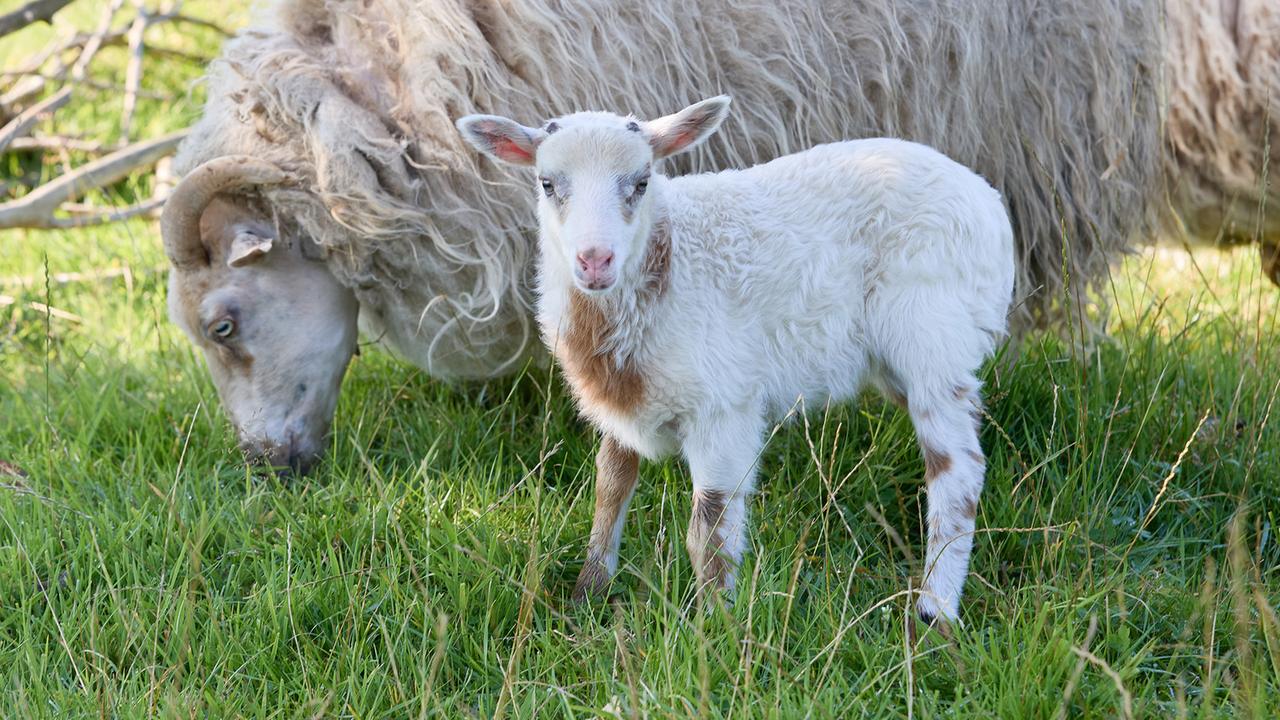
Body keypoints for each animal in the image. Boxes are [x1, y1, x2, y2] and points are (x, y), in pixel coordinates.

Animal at [456, 97, 1015, 623]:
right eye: (548, 183)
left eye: (641, 182)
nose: (595, 261)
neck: (665, 264)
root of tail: (989, 204)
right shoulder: (623, 399)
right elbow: (609, 488)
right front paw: (587, 594)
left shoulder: (723, 405)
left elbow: (709, 527)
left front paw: (713, 625)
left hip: (932, 332)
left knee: (958, 472)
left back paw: (934, 611)